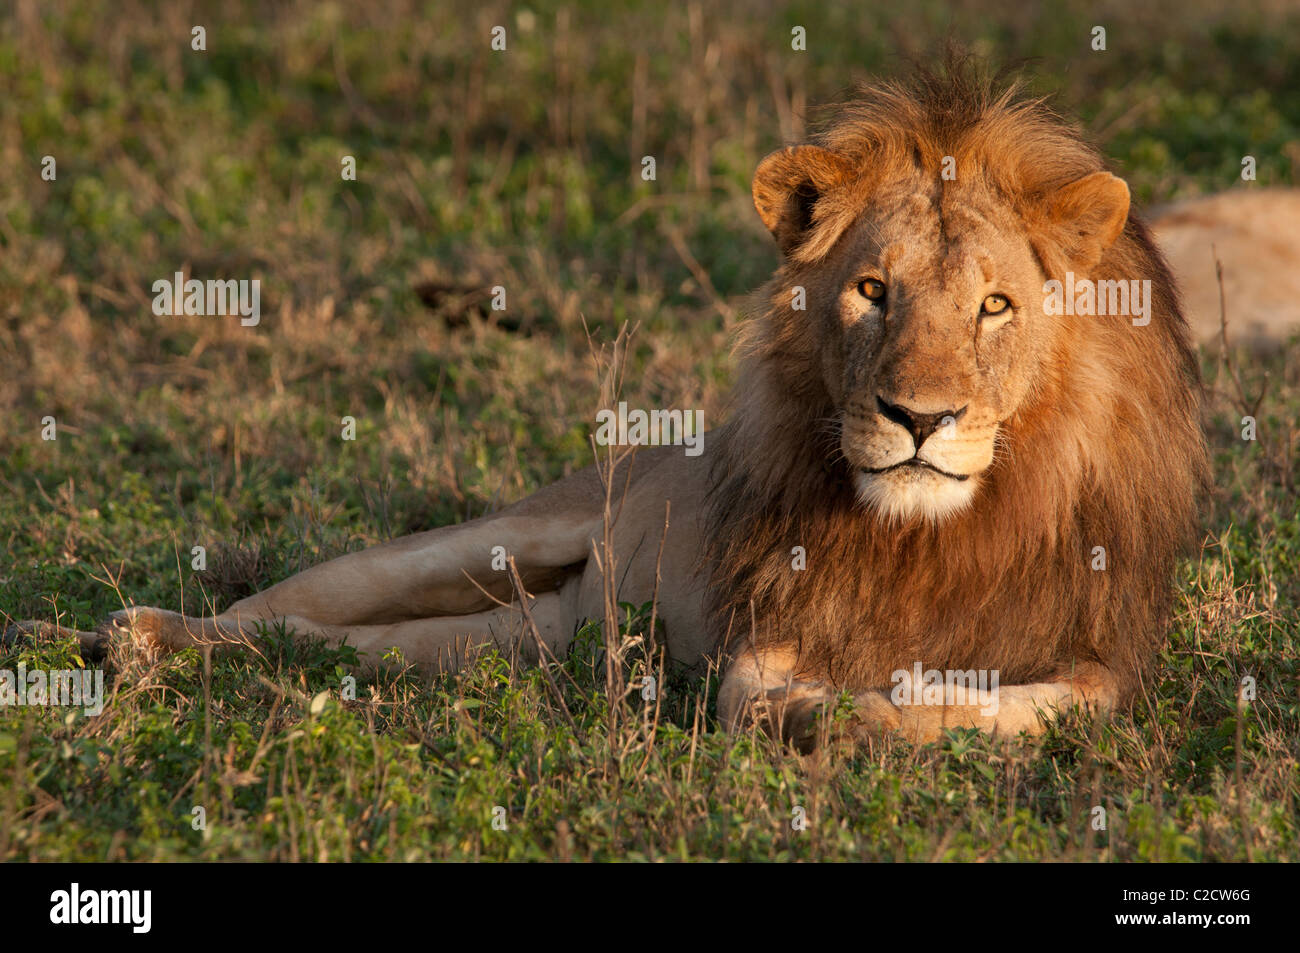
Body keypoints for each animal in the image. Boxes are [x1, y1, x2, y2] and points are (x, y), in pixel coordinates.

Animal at [8, 64, 1208, 750]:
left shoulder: (1100, 654)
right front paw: (821, 714)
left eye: (995, 305)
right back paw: (107, 638)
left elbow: (997, 704)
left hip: (528, 636)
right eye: (873, 290)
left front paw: (873, 716)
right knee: (280, 608)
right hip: (485, 540)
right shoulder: (769, 612)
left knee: (343, 646)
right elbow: (752, 692)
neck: (936, 536)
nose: (918, 417)